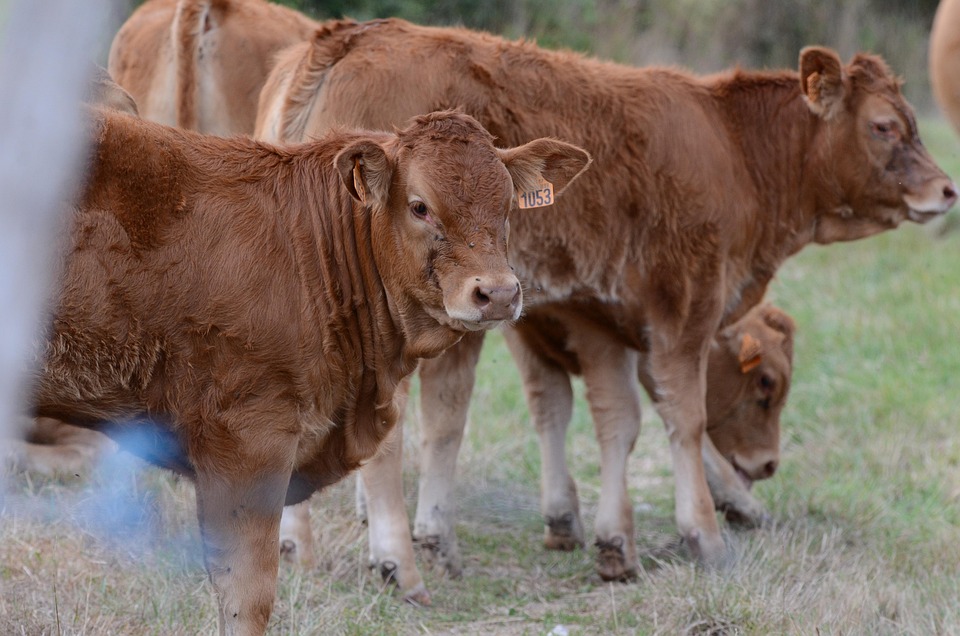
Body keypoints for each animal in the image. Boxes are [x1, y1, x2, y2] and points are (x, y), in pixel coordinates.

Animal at [253, 18, 957, 592]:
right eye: (884, 126)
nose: (946, 189)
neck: (732, 148)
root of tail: (349, 36)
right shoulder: (684, 308)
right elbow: (684, 417)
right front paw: (706, 536)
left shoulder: (602, 320)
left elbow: (613, 417)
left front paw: (615, 539)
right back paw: (397, 561)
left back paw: (298, 547)